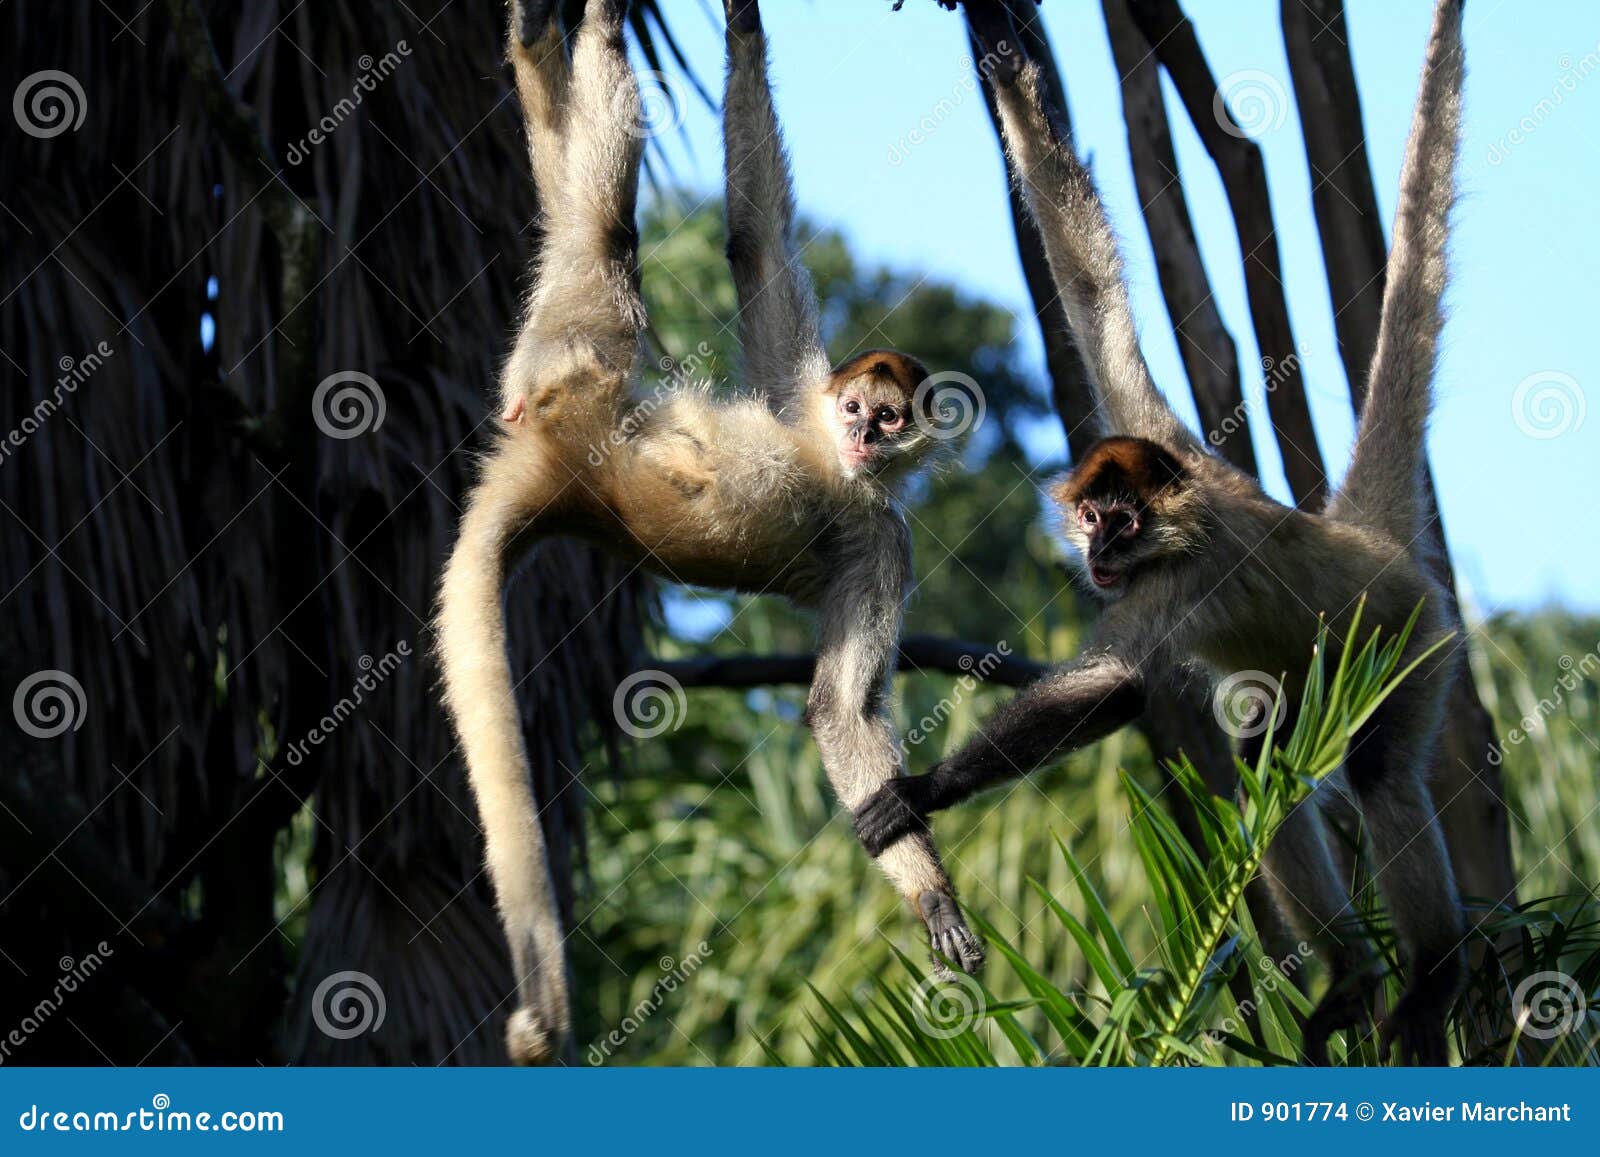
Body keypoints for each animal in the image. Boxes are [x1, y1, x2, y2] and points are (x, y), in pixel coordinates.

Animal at [437, 0, 981, 1065]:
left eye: (889, 420)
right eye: (855, 408)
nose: (862, 433)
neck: (838, 469)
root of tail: (568, 480)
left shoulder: (885, 538)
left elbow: (838, 709)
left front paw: (931, 892)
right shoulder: (809, 404)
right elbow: (755, 240)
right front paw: (743, 24)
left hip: (566, 368)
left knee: (598, 230)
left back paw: (549, 41)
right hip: (576, 377)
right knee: (608, 231)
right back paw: (574, 29)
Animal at [854, 0, 1469, 1065]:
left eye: (1122, 521)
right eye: (1090, 516)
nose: (1100, 549)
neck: (1183, 515)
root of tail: (1367, 542)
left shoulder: (1177, 570)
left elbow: (1119, 683)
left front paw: (923, 788)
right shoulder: (1151, 433)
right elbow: (1089, 280)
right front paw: (1003, 52)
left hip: (1409, 635)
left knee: (1375, 768)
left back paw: (1422, 973)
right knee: (1264, 750)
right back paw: (1355, 972)